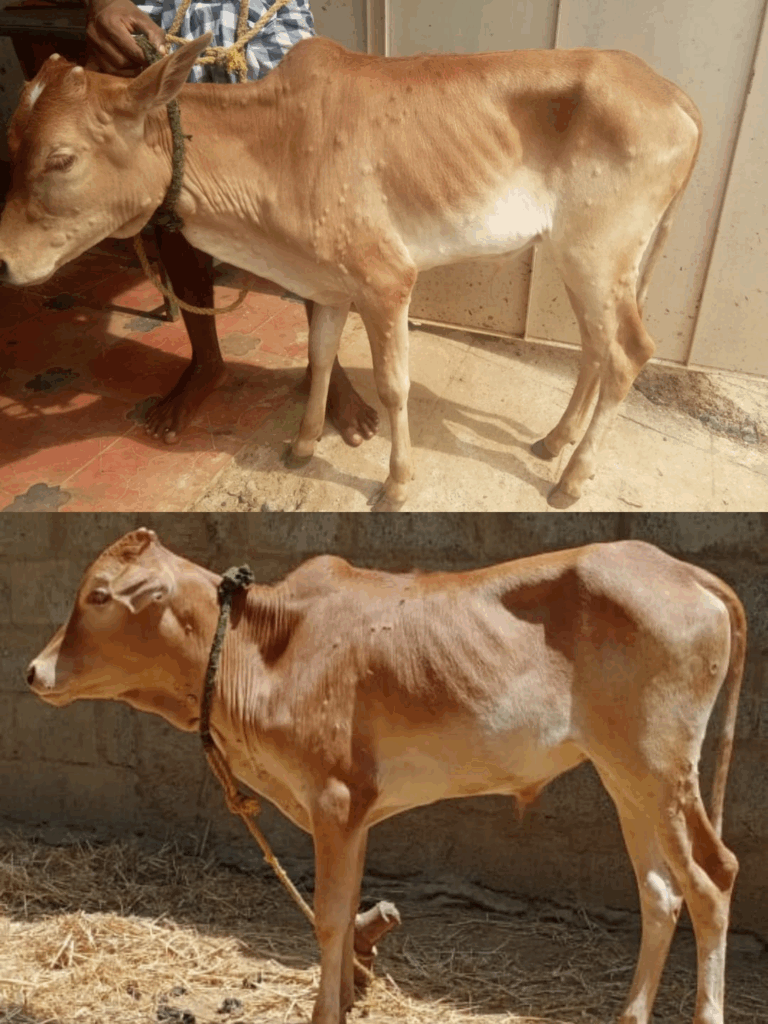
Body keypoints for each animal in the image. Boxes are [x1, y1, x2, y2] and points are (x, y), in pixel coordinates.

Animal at [0, 35, 701, 508]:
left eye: (61, 159)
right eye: (12, 145)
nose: (3, 260)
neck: (279, 147)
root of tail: (675, 95)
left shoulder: (387, 282)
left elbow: (394, 387)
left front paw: (396, 483)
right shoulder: (328, 285)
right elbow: (317, 357)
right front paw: (304, 446)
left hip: (596, 253)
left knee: (629, 353)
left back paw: (571, 480)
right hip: (581, 259)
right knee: (595, 349)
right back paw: (554, 444)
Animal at [27, 528, 744, 1024]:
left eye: (98, 594)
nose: (34, 671)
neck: (263, 652)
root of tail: (684, 572)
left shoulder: (334, 800)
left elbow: (326, 917)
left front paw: (326, 1012)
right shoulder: (356, 812)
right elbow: (348, 915)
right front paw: (347, 998)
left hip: (661, 768)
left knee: (713, 880)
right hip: (626, 779)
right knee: (661, 894)